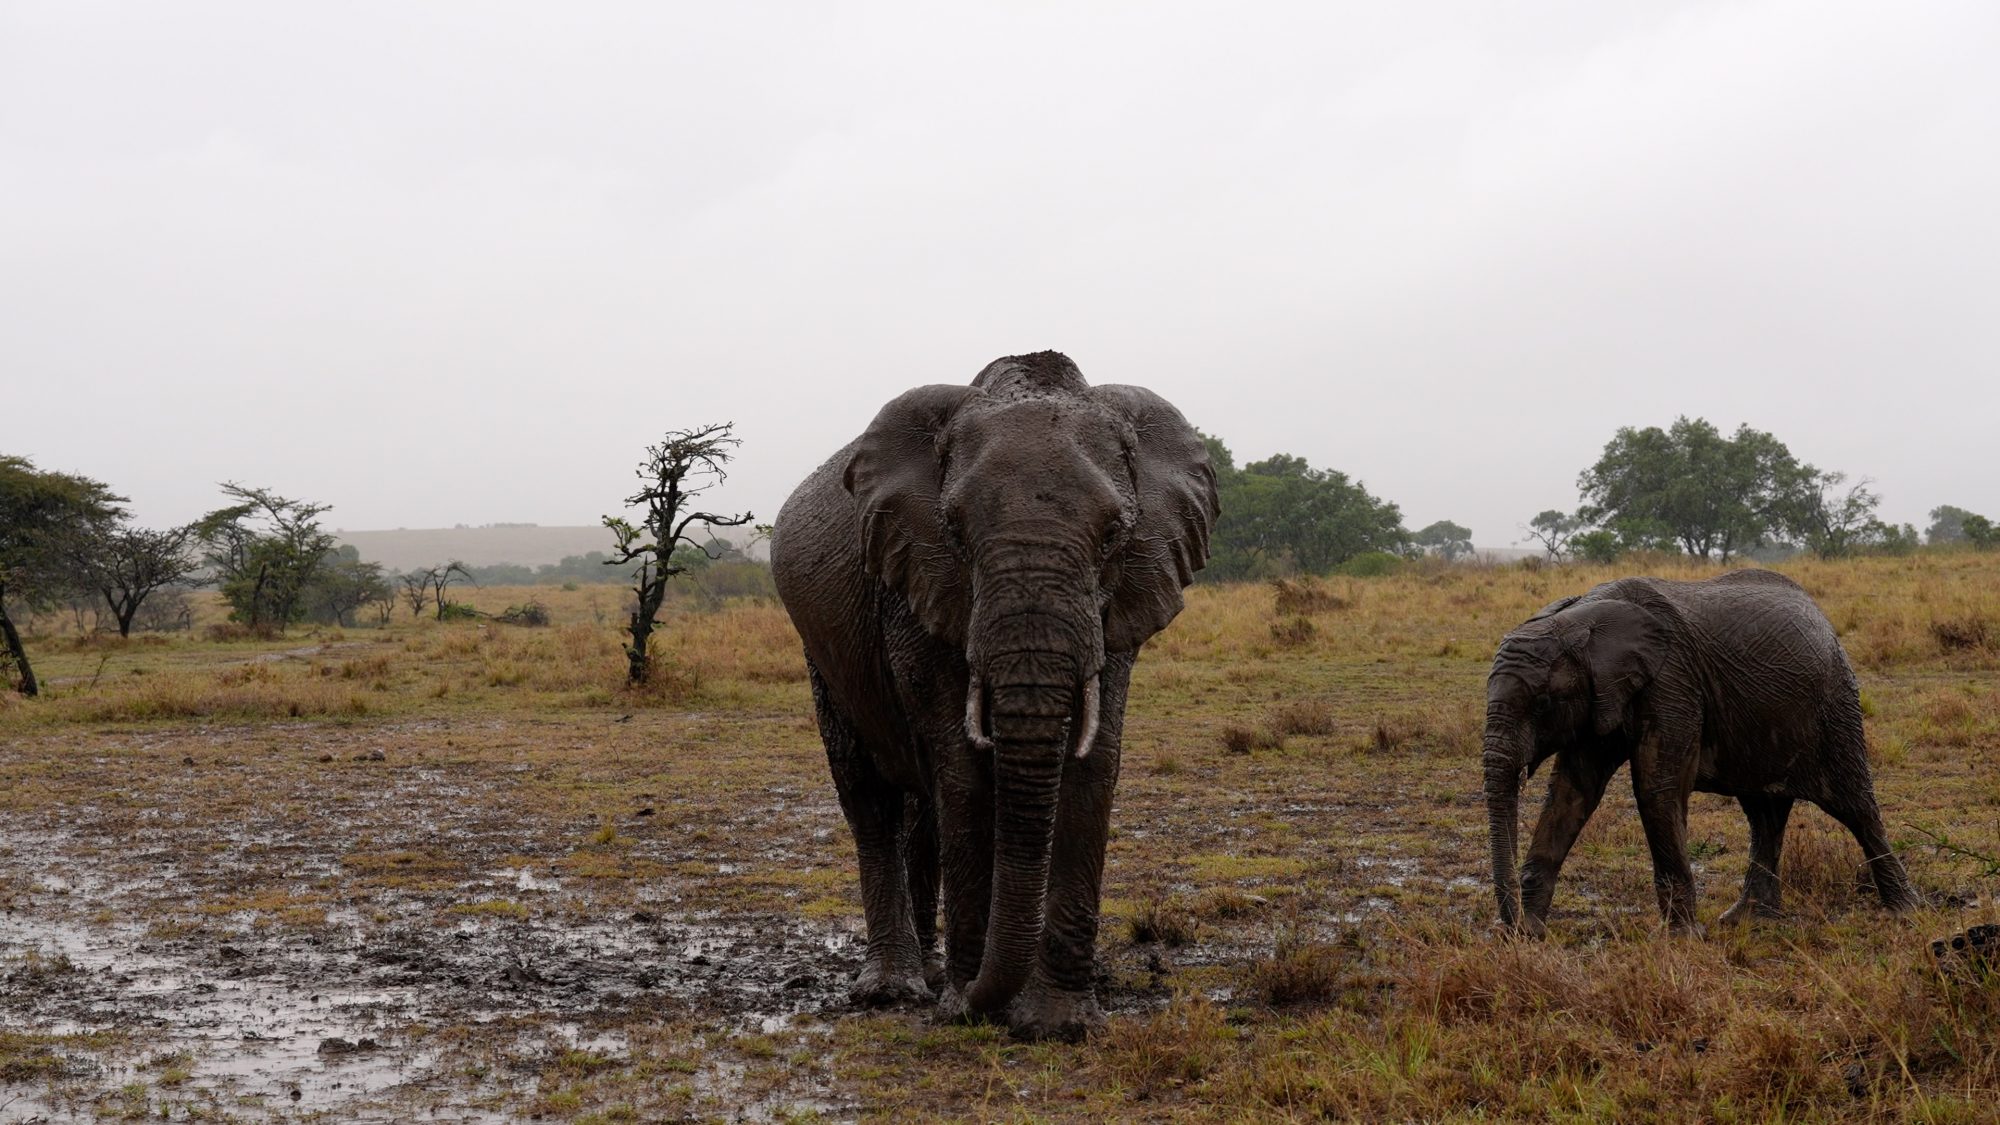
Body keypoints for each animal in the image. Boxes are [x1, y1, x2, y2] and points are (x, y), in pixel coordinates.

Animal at [771, 351, 1216, 1041]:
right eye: (954, 529)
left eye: (1114, 533)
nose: (985, 1002)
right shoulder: (913, 582)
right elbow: (963, 767)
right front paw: (967, 1008)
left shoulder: (1118, 600)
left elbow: (1093, 764)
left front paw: (1058, 1026)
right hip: (821, 652)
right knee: (870, 798)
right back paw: (896, 990)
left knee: (921, 812)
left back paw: (930, 977)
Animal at [1483, 568, 1920, 937]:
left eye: (1542, 704)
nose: (1509, 928)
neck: (1582, 619)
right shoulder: (1601, 699)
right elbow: (1572, 791)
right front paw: (1531, 934)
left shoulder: (1672, 682)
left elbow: (1657, 788)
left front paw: (1681, 939)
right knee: (1765, 815)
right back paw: (1748, 919)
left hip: (1835, 703)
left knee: (1854, 805)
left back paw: (1905, 910)